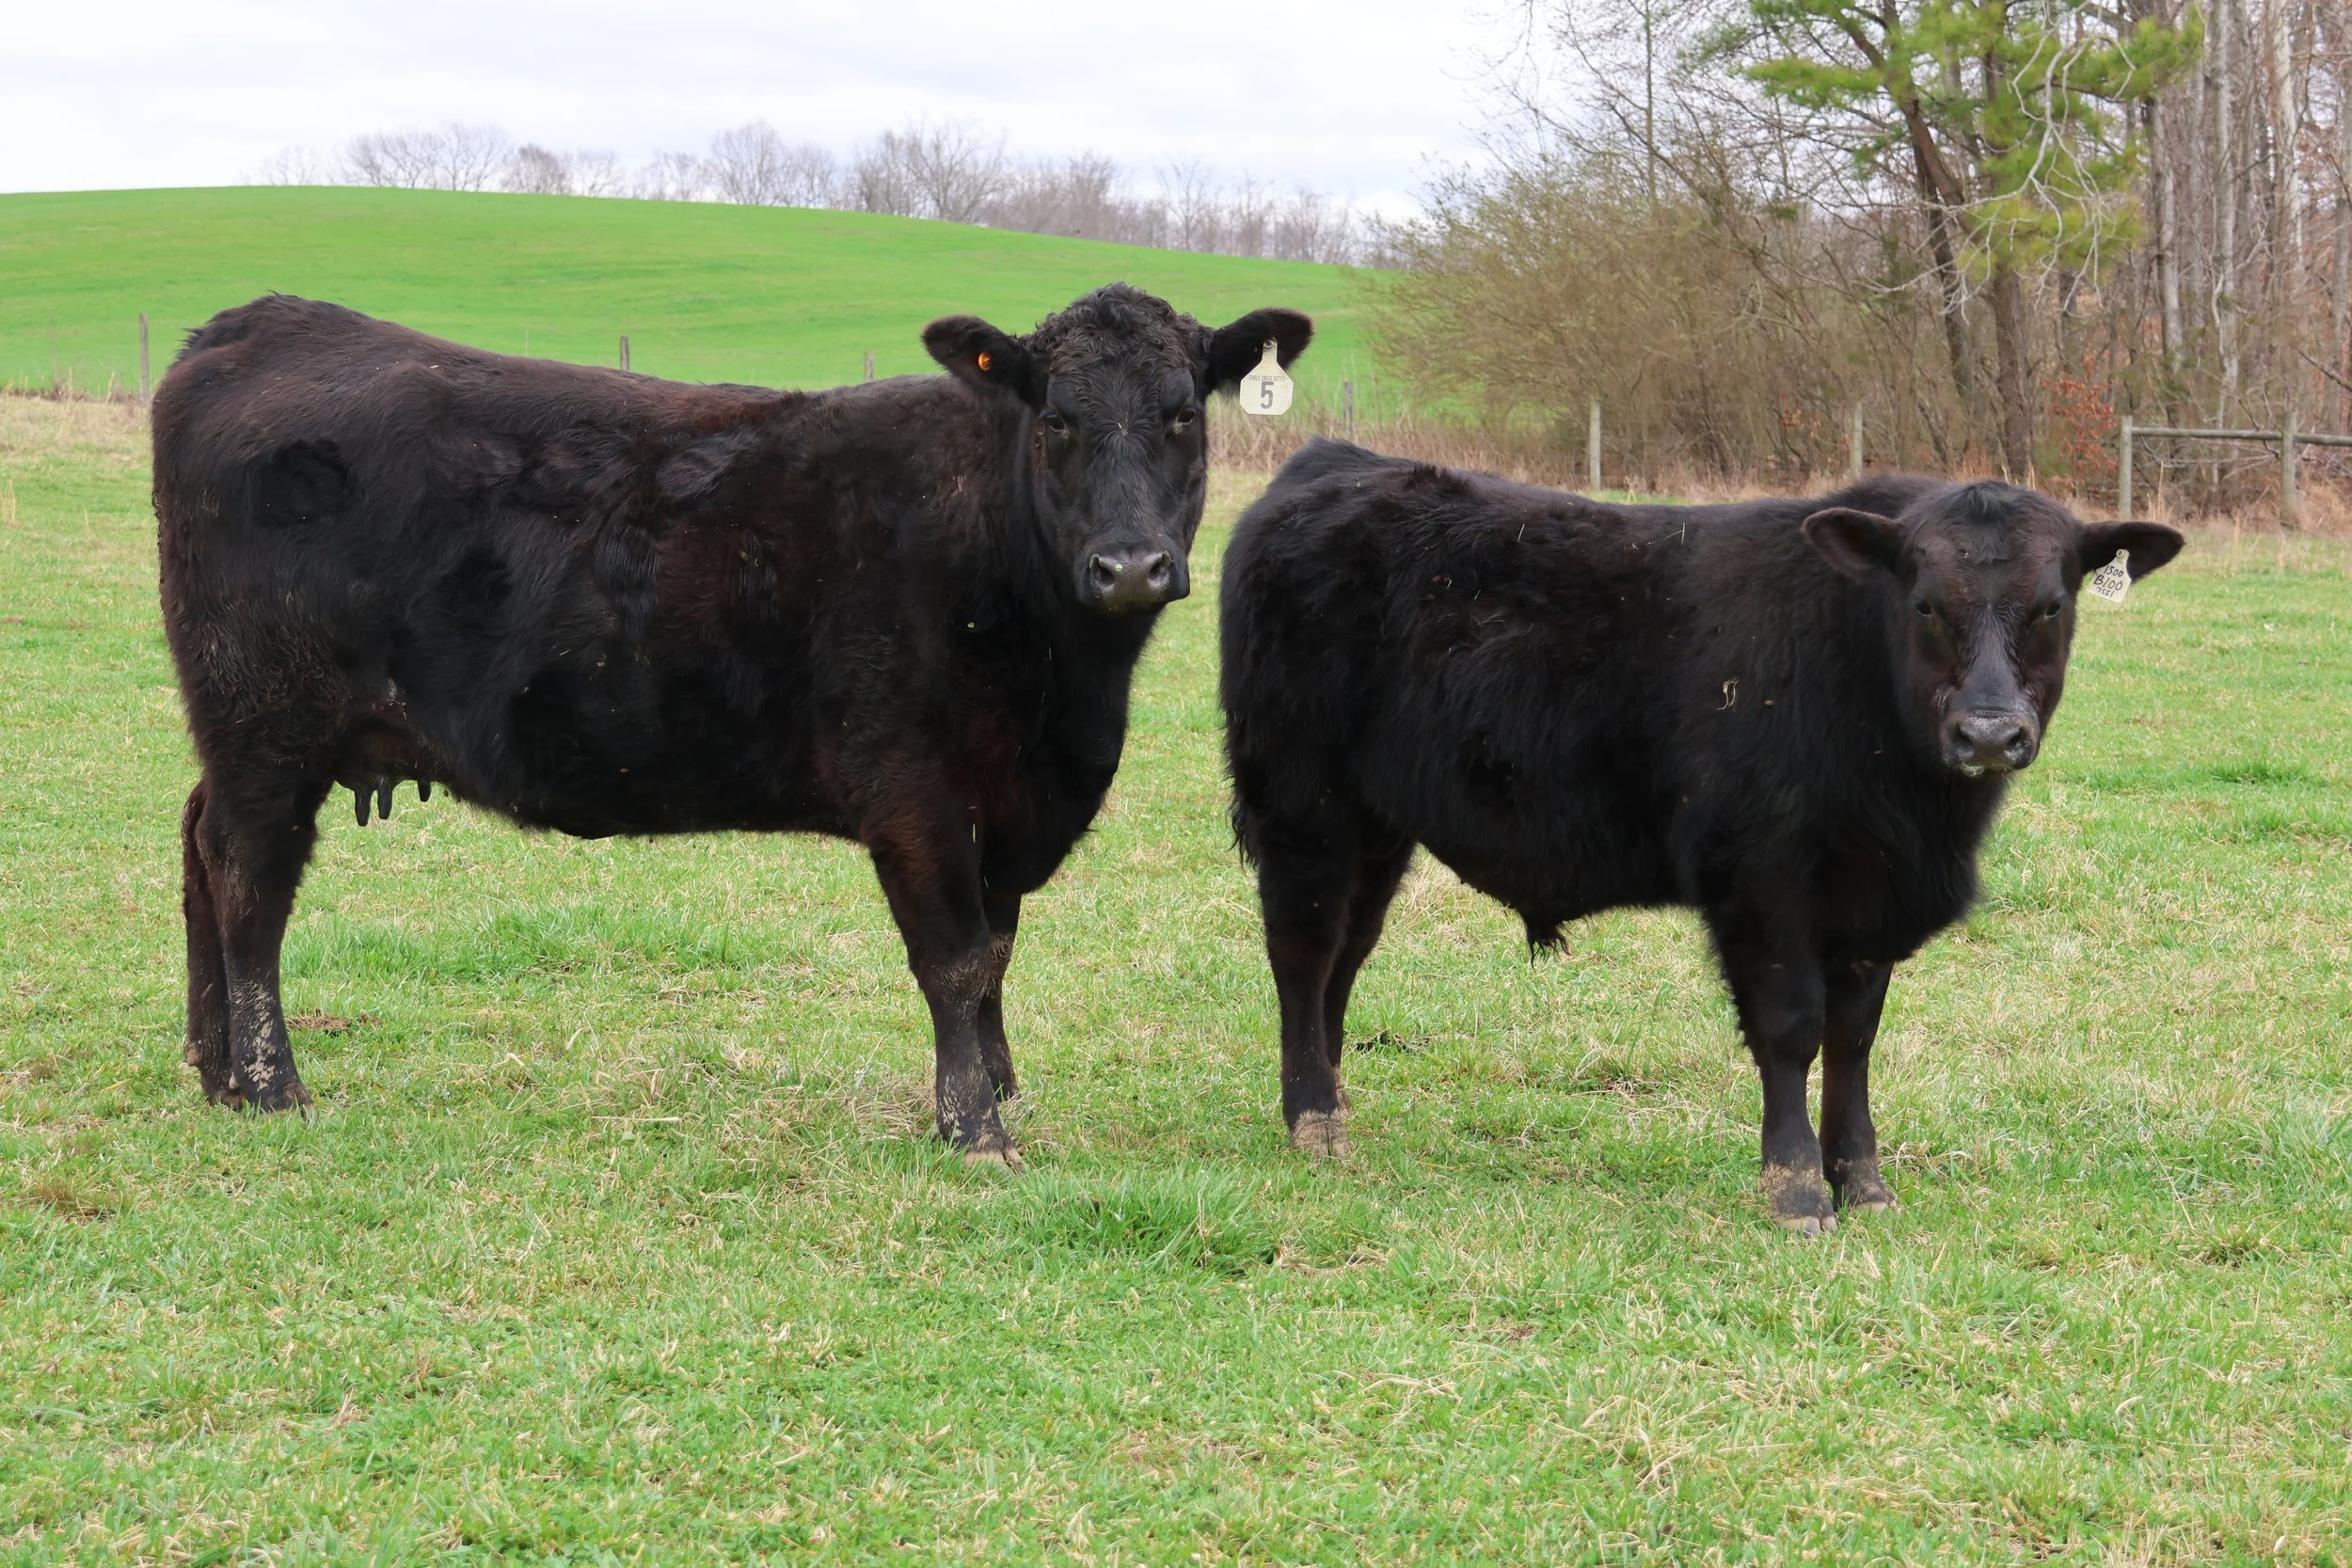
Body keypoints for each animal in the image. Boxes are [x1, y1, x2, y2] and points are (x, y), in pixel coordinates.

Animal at [155, 286, 1312, 1164]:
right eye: (1058, 420)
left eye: (1184, 413)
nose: (1131, 566)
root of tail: (263, 324)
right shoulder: (913, 790)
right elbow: (953, 960)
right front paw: (974, 1127)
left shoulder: (1008, 799)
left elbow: (996, 952)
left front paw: (995, 1084)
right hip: (268, 724)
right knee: (250, 883)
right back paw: (272, 1084)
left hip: (242, 734)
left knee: (199, 847)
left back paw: (213, 1067)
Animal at [1220, 439, 2181, 1230]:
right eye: (1924, 602)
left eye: (2051, 605)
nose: (1987, 733)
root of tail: (1333, 464)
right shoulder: (1760, 879)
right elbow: (1793, 1029)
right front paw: (1796, 1189)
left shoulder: (1869, 904)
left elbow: (1855, 1038)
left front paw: (1863, 1182)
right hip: (1302, 805)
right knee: (1303, 952)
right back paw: (1313, 1116)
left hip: (1378, 827)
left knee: (1345, 957)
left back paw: (1328, 1104)